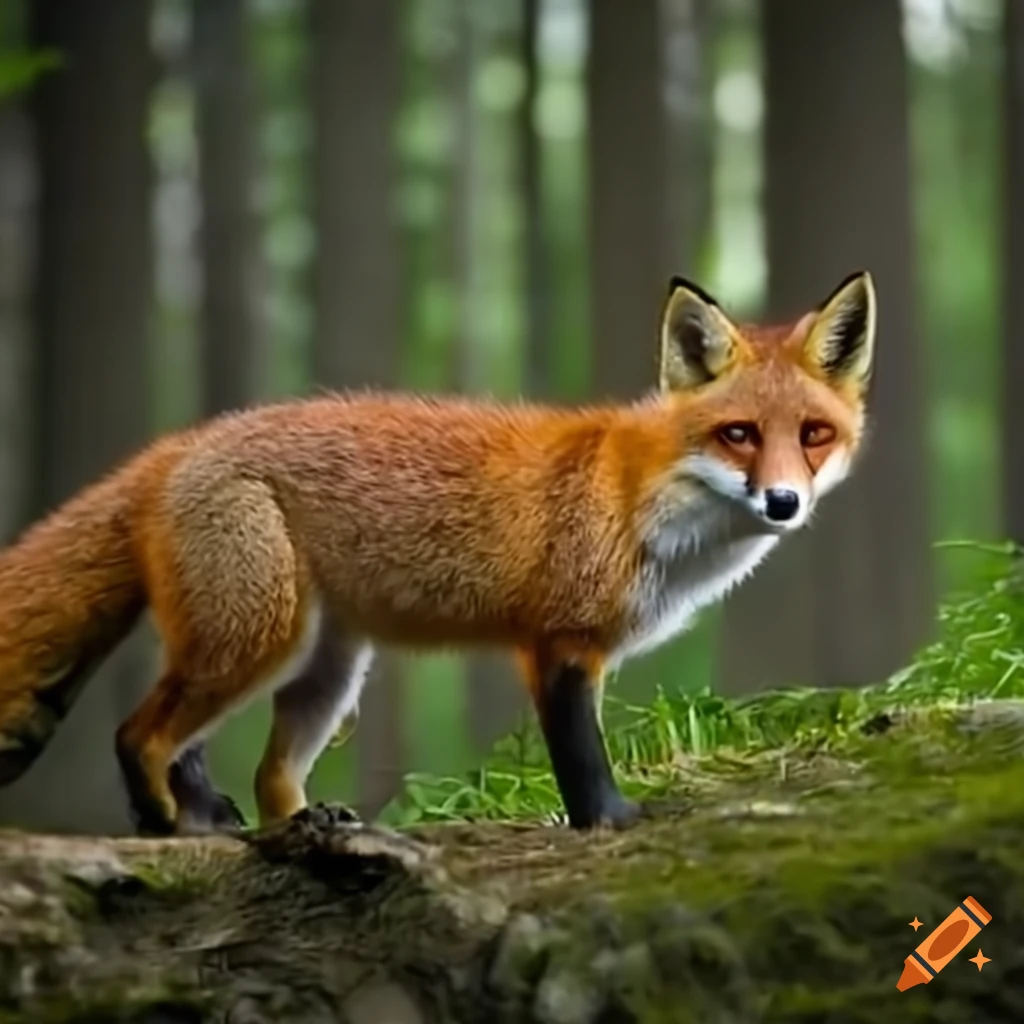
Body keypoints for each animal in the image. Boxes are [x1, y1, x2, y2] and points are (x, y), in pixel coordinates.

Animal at [0, 271, 876, 836]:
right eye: (739, 435)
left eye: (813, 435)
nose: (784, 502)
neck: (637, 496)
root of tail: (179, 444)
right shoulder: (559, 641)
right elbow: (580, 758)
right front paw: (610, 823)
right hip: (258, 638)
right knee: (140, 736)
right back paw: (173, 828)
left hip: (320, 666)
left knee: (261, 772)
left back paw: (290, 826)